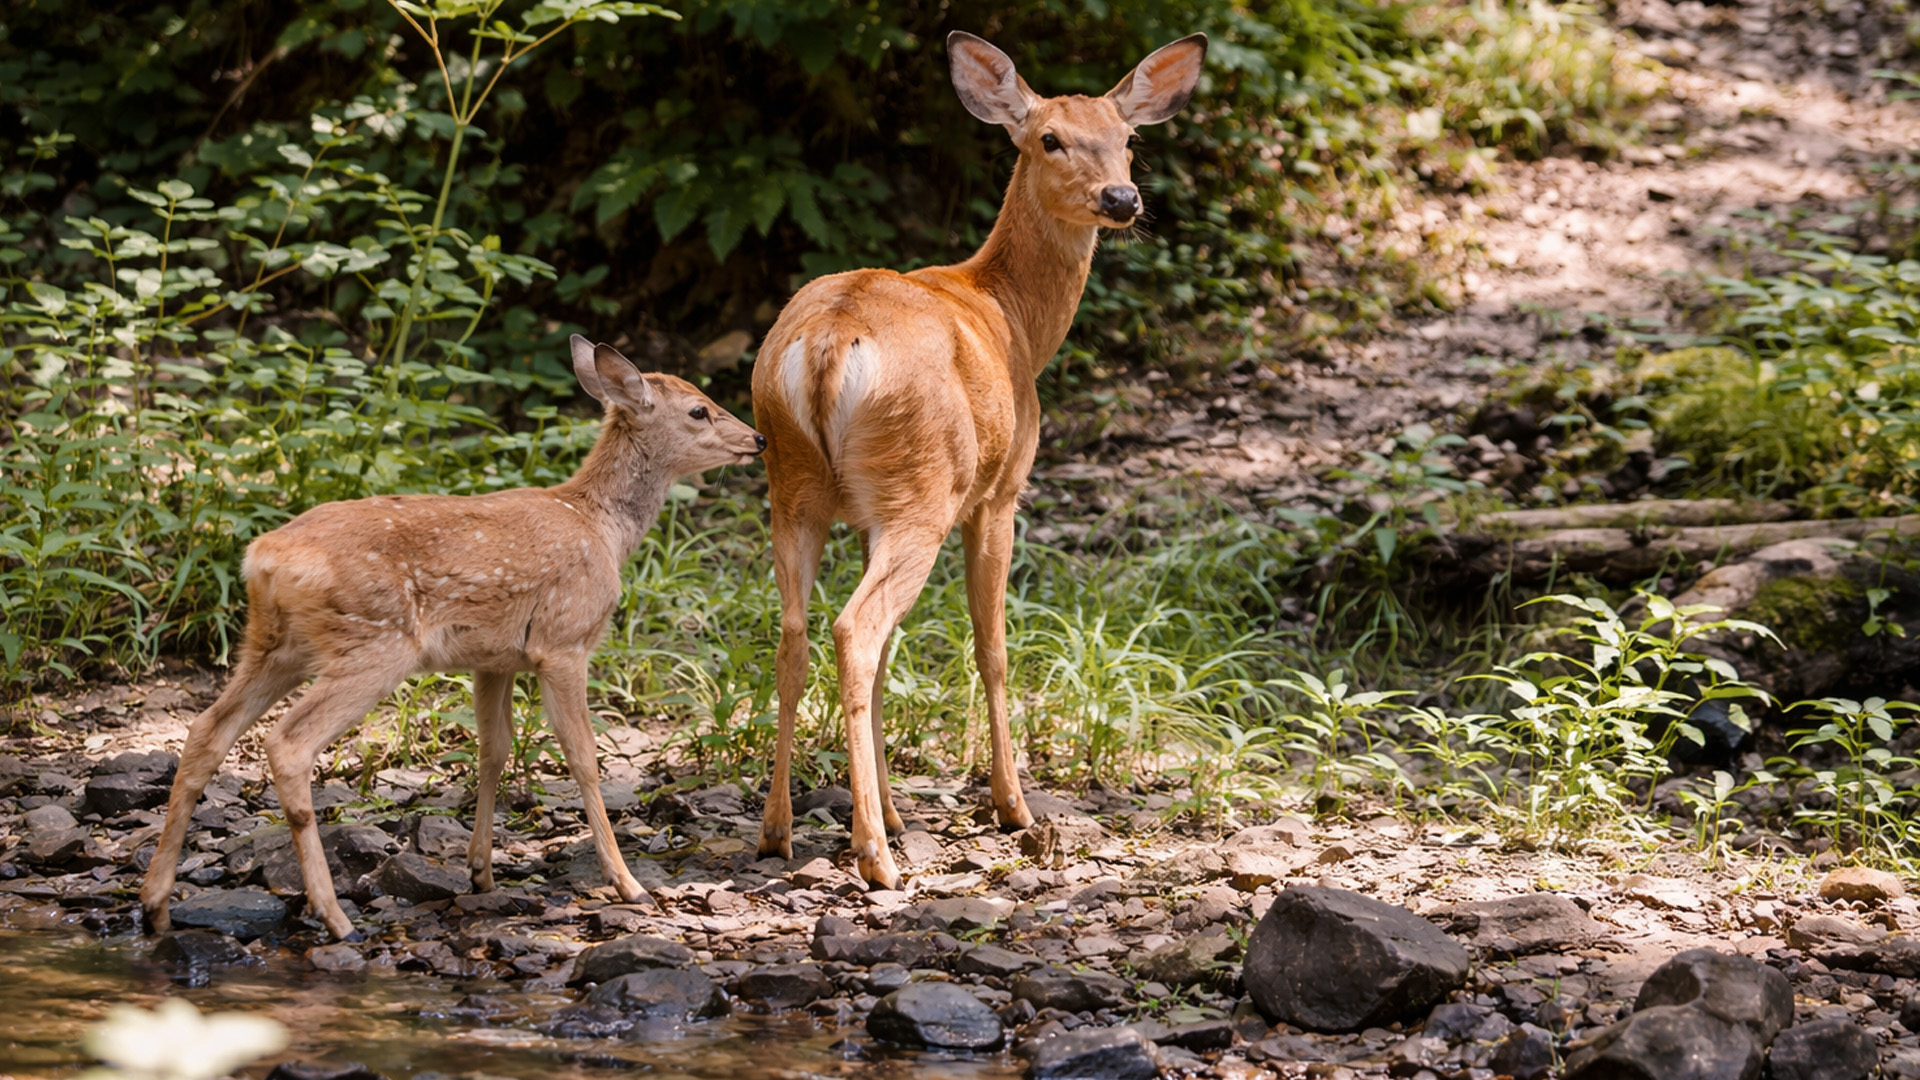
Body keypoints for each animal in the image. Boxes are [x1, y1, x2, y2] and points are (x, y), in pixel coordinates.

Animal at [140, 336, 765, 940]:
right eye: (699, 410)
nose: (758, 437)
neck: (601, 527)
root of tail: (262, 558)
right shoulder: (564, 641)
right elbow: (583, 757)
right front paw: (627, 884)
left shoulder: (495, 659)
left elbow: (494, 750)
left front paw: (481, 870)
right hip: (374, 643)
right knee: (289, 744)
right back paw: (335, 917)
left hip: (273, 646)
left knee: (205, 731)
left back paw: (156, 904)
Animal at [749, 31, 1207, 888]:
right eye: (1049, 139)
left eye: (1128, 139)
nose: (1121, 199)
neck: (1011, 312)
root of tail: (827, 342)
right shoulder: (1000, 493)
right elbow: (992, 647)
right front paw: (1011, 805)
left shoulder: (865, 513)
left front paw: (899, 808)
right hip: (923, 490)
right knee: (856, 628)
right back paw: (875, 856)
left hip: (794, 486)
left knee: (798, 633)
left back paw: (780, 829)